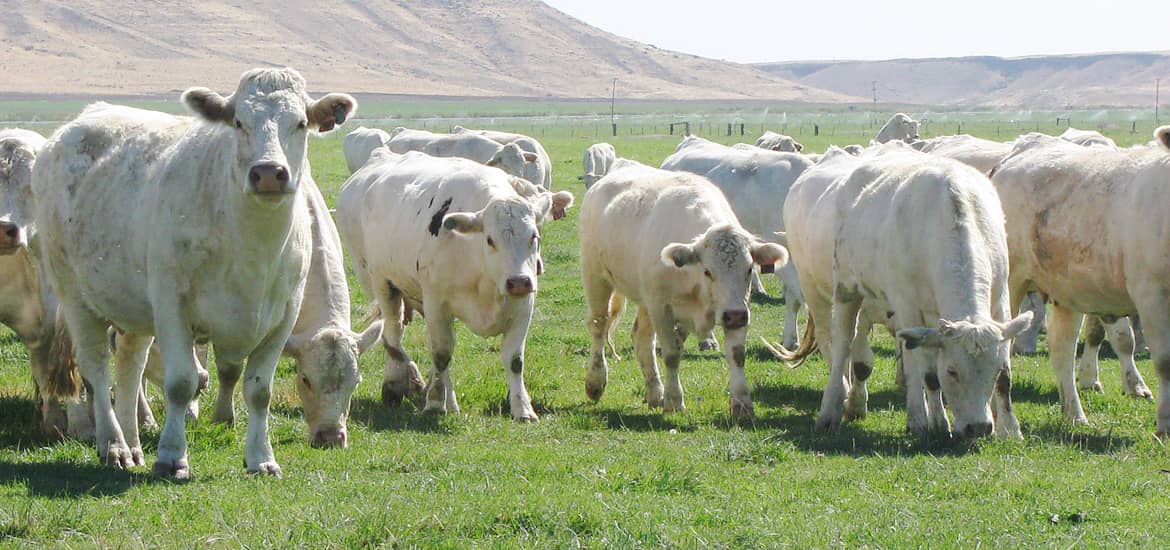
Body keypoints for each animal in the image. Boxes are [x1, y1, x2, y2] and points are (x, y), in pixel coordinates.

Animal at [34, 67, 356, 478]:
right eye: (238, 122)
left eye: (300, 123)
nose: (269, 173)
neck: (252, 248)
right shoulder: (172, 306)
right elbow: (182, 382)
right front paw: (172, 457)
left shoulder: (283, 315)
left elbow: (258, 389)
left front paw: (261, 458)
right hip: (74, 293)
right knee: (97, 368)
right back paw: (114, 445)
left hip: (133, 307)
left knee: (129, 368)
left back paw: (134, 445)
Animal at [336, 149, 573, 421]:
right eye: (489, 239)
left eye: (534, 236)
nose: (519, 281)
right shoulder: (437, 304)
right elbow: (441, 354)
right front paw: (435, 403)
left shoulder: (523, 306)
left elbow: (514, 360)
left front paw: (522, 408)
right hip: (382, 284)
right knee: (393, 336)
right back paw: (399, 384)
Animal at [579, 158, 788, 420]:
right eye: (708, 271)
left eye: (749, 269)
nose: (734, 315)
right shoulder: (662, 308)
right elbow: (671, 354)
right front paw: (674, 400)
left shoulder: (738, 307)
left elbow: (737, 355)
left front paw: (742, 405)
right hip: (596, 277)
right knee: (599, 326)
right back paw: (596, 382)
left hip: (645, 299)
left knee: (642, 337)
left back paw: (654, 392)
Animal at [806, 146, 1030, 436]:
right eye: (952, 371)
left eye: (994, 370)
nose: (979, 427)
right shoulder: (908, 306)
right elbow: (925, 372)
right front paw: (922, 422)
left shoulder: (999, 301)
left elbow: (1002, 377)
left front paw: (1010, 430)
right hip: (847, 286)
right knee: (844, 342)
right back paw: (833, 409)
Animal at [990, 130, 1170, 432]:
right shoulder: (1153, 295)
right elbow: (1165, 361)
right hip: (1009, 284)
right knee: (1002, 348)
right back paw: (1003, 423)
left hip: (1066, 287)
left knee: (1061, 347)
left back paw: (1073, 413)